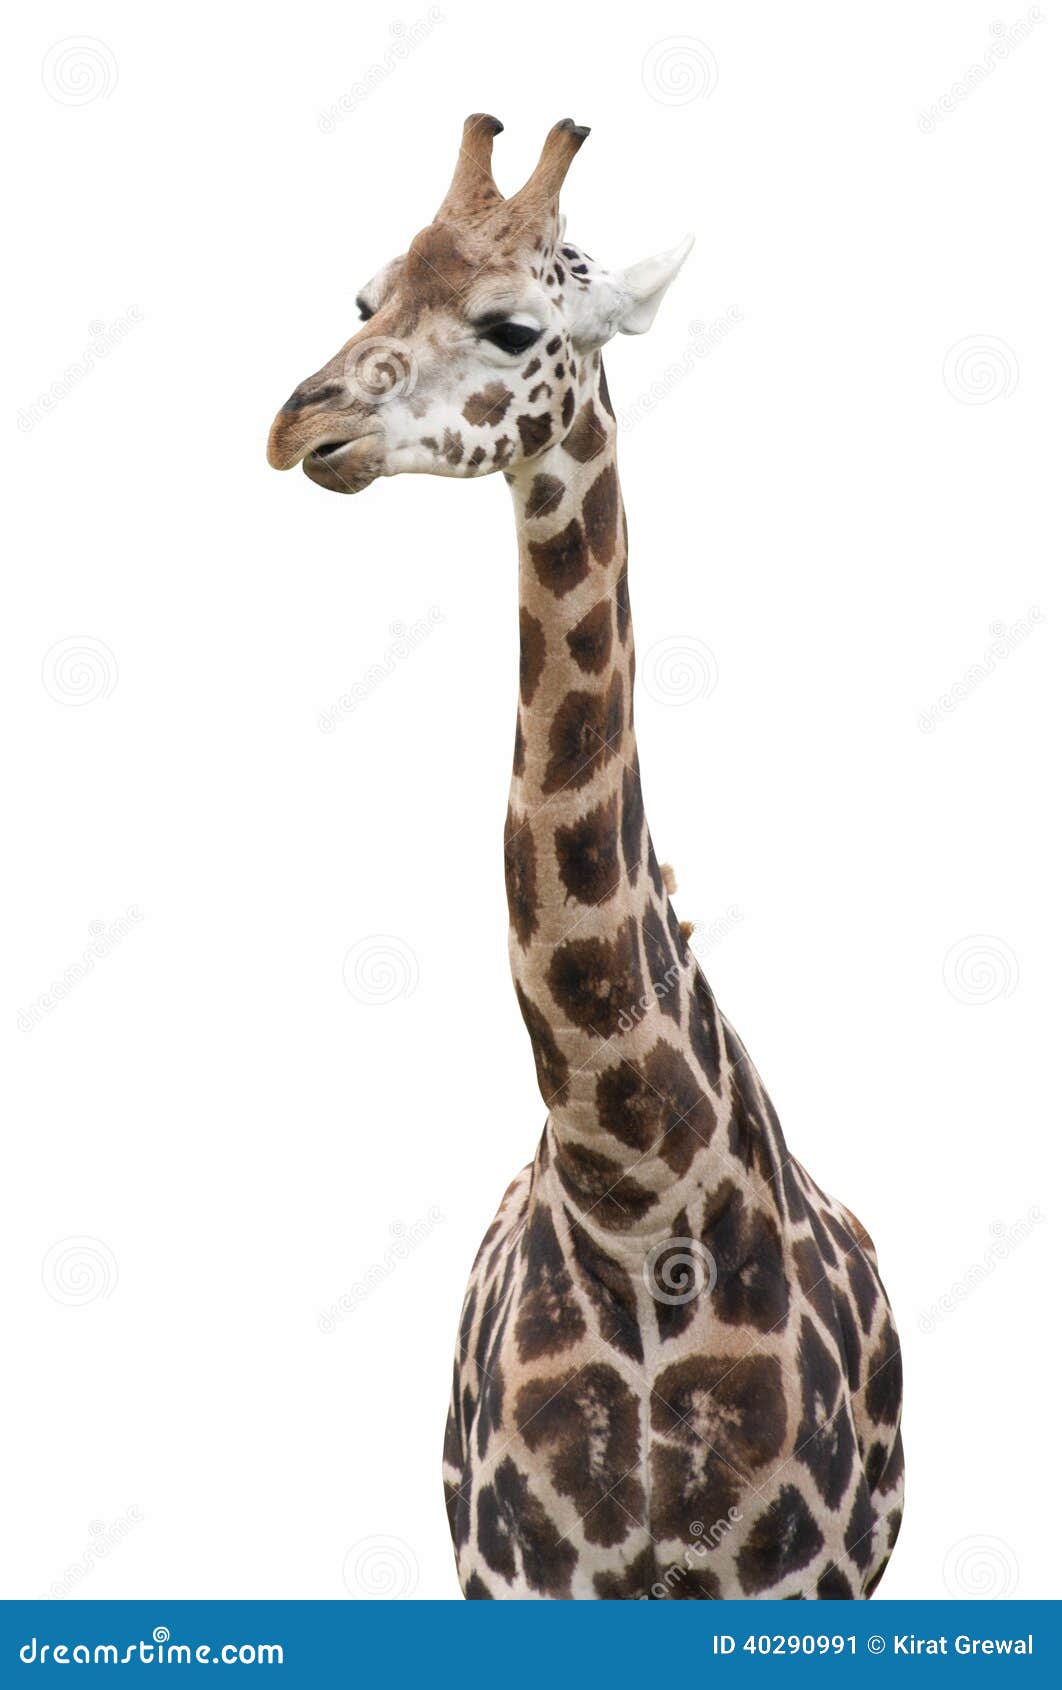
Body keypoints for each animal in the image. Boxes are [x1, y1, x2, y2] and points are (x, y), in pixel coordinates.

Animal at [267, 115, 904, 1600]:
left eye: (512, 326)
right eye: (365, 294)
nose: (301, 424)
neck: (635, 1192)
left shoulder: (793, 1578)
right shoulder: (520, 1569)